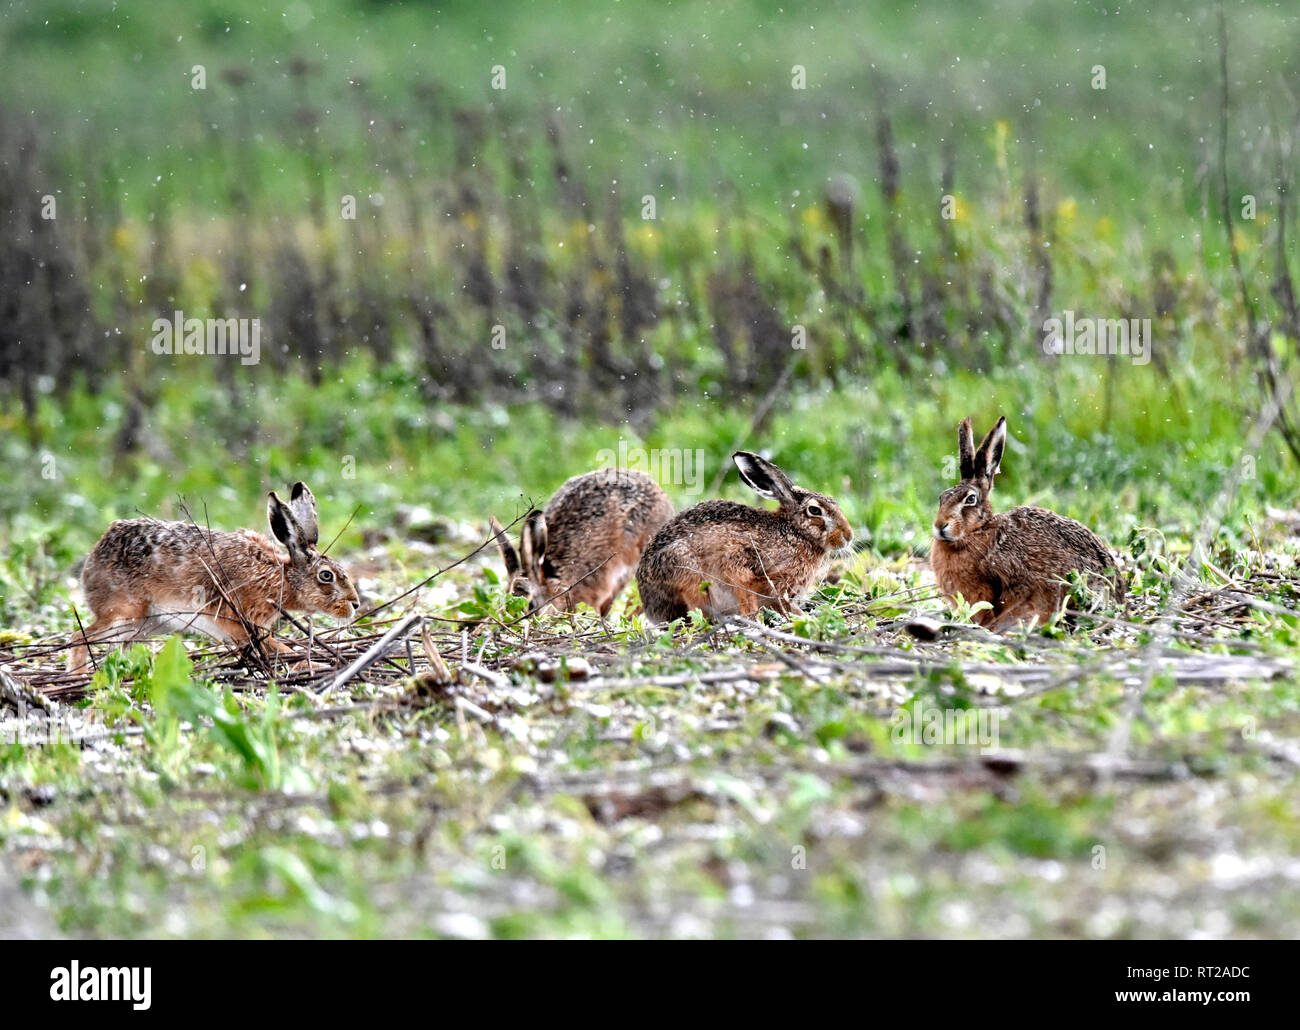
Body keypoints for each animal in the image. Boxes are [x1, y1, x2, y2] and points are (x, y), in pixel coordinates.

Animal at [67, 482, 360, 675]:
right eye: (326, 576)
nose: (355, 604)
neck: (280, 578)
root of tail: (93, 559)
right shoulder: (240, 623)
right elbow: (280, 649)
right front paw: (315, 664)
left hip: (146, 625)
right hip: (124, 613)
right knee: (79, 637)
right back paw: (79, 675)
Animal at [636, 450, 853, 624]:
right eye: (815, 510)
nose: (848, 536)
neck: (796, 532)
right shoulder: (739, 564)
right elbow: (747, 594)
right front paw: (756, 620)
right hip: (686, 571)